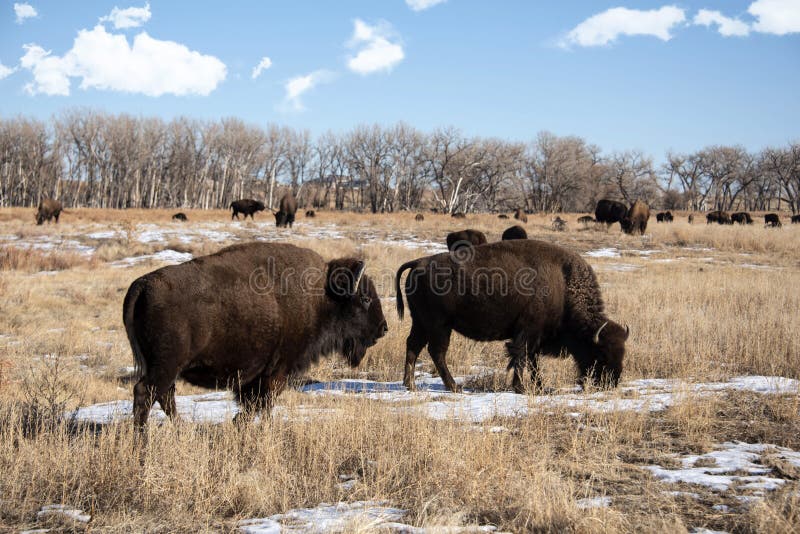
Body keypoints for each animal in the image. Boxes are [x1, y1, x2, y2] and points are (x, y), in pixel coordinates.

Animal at [123, 242, 388, 430]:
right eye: (365, 299)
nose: (383, 328)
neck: (322, 297)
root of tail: (143, 285)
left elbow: (254, 405)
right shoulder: (277, 372)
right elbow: (263, 404)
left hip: (167, 368)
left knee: (165, 396)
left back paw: (181, 429)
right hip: (166, 366)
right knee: (146, 394)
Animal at [395, 240, 629, 394]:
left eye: (622, 353)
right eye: (601, 353)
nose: (611, 383)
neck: (563, 283)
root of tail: (419, 263)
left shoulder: (536, 337)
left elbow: (532, 362)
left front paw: (540, 386)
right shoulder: (527, 332)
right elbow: (521, 358)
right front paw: (521, 388)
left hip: (421, 323)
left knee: (413, 345)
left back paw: (410, 385)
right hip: (439, 325)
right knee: (436, 352)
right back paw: (454, 387)